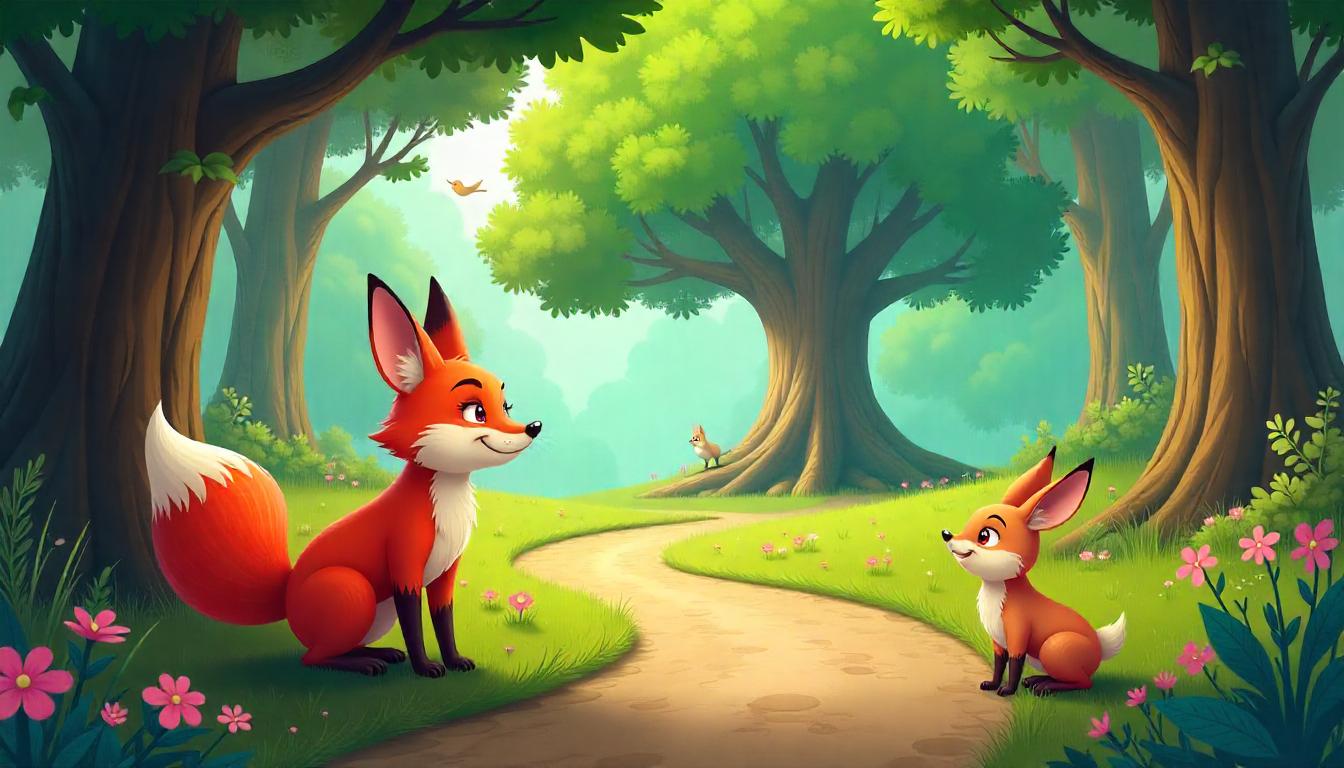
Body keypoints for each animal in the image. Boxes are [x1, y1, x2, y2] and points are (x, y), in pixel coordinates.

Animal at [144, 274, 541, 677]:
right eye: (475, 412)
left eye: (506, 406)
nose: (533, 427)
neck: (445, 503)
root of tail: (286, 594)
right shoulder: (405, 567)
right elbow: (414, 625)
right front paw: (425, 667)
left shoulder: (445, 573)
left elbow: (444, 621)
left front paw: (455, 660)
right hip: (355, 591)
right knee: (314, 657)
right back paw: (367, 664)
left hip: (376, 612)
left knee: (337, 647)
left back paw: (381, 653)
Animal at [940, 447, 1125, 696]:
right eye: (968, 523)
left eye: (985, 535)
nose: (947, 534)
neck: (996, 595)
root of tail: (1101, 646)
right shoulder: (997, 641)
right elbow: (999, 664)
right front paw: (992, 684)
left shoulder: (1018, 633)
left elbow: (1015, 664)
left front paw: (1007, 690)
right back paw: (1036, 680)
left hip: (1054, 647)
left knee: (1084, 683)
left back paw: (1044, 686)